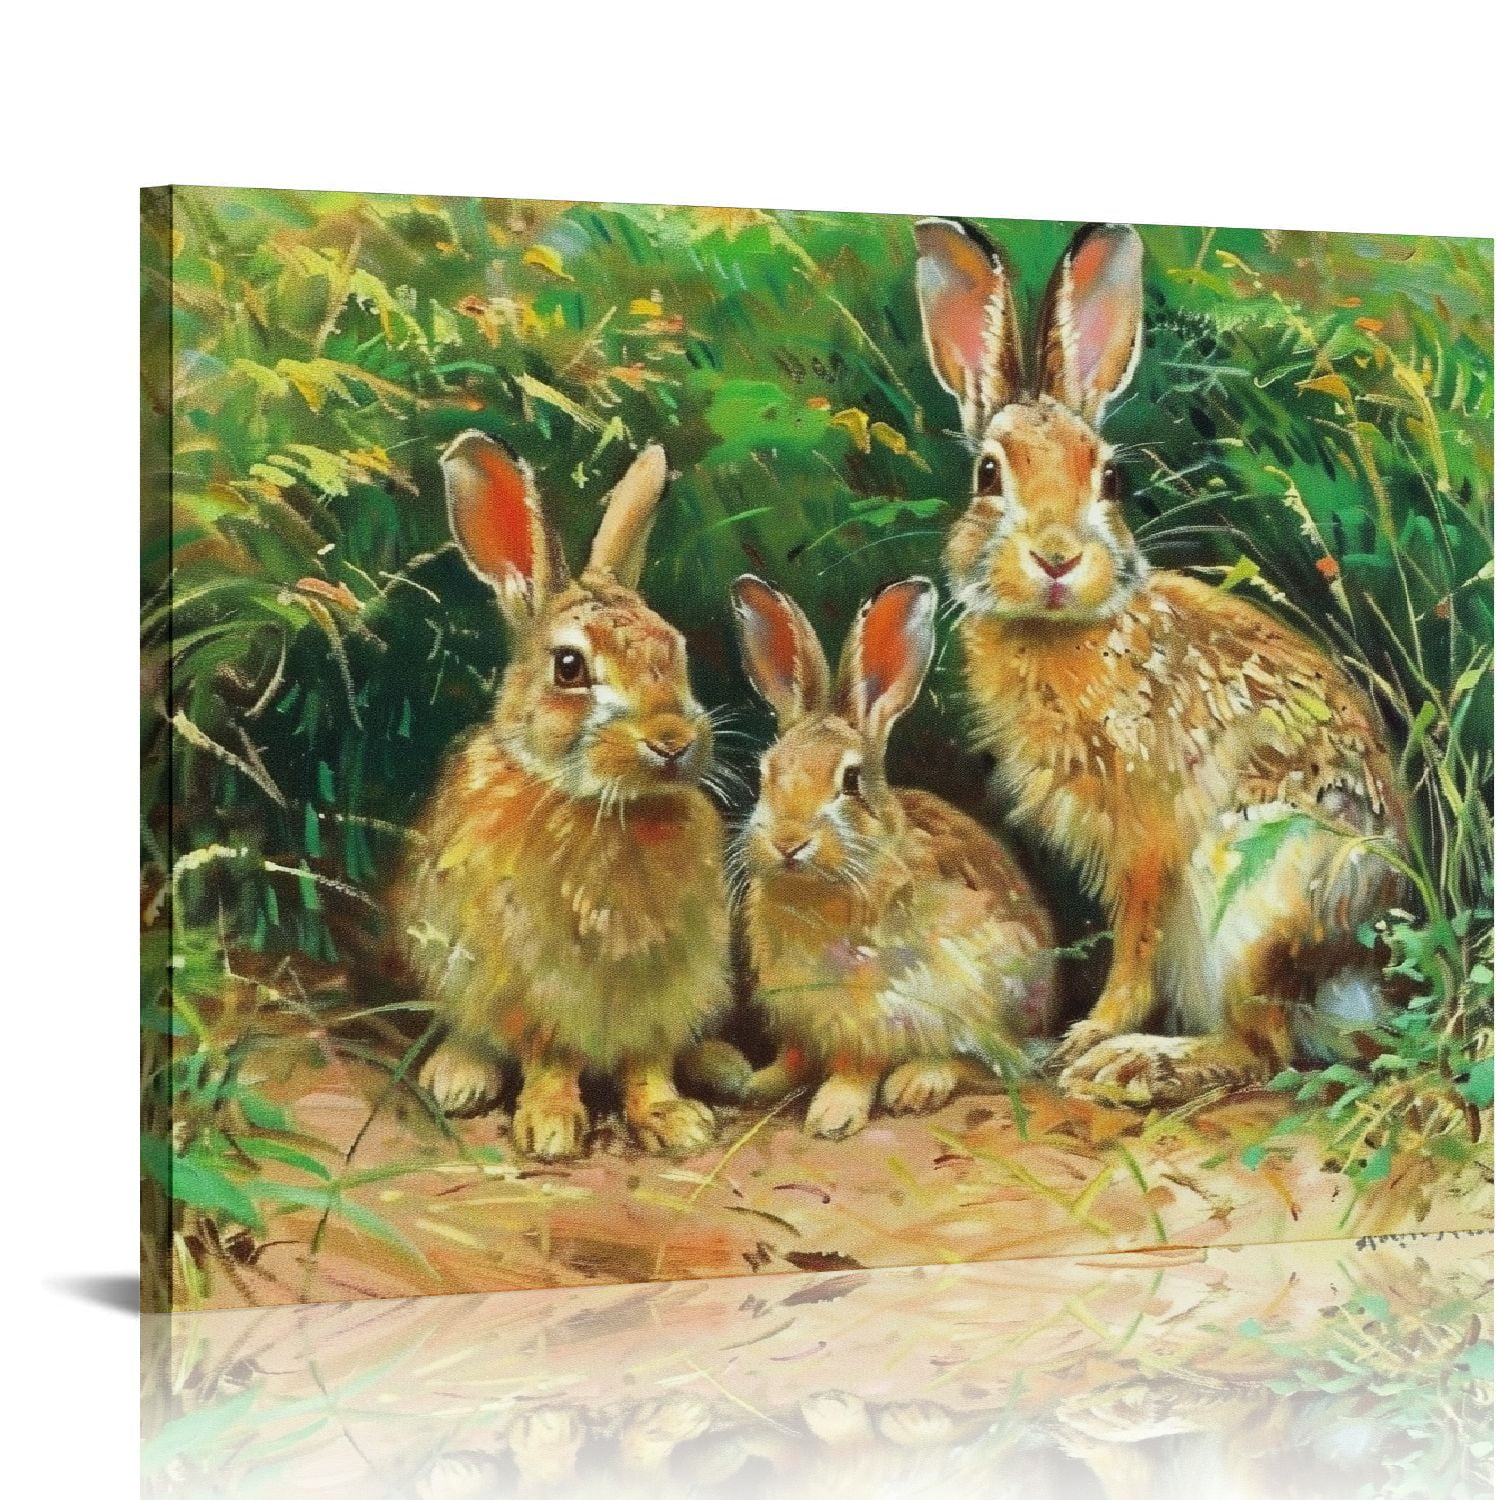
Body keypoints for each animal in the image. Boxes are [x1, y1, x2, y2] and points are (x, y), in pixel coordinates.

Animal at [400, 431, 731, 1160]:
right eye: (570, 667)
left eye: (676, 650)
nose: (671, 741)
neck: (607, 807)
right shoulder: (533, 984)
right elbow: (550, 1057)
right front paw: (550, 1128)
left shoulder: (665, 984)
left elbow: (649, 1059)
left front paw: (674, 1119)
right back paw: (458, 1076)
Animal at [699, 573, 1056, 1140]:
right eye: (765, 774)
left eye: (850, 781)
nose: (788, 841)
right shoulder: (799, 1007)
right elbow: (796, 1053)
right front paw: (759, 1083)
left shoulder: (876, 1008)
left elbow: (858, 1061)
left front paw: (833, 1114)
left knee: (995, 1062)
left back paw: (917, 1083)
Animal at [911, 217, 1407, 1107]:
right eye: (988, 473)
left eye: (1110, 477)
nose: (1058, 558)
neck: (1069, 631)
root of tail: (1352, 977)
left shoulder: (1147, 836)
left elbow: (1133, 943)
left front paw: (1091, 1034)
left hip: (1254, 902)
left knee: (1266, 1051)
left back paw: (1139, 1064)